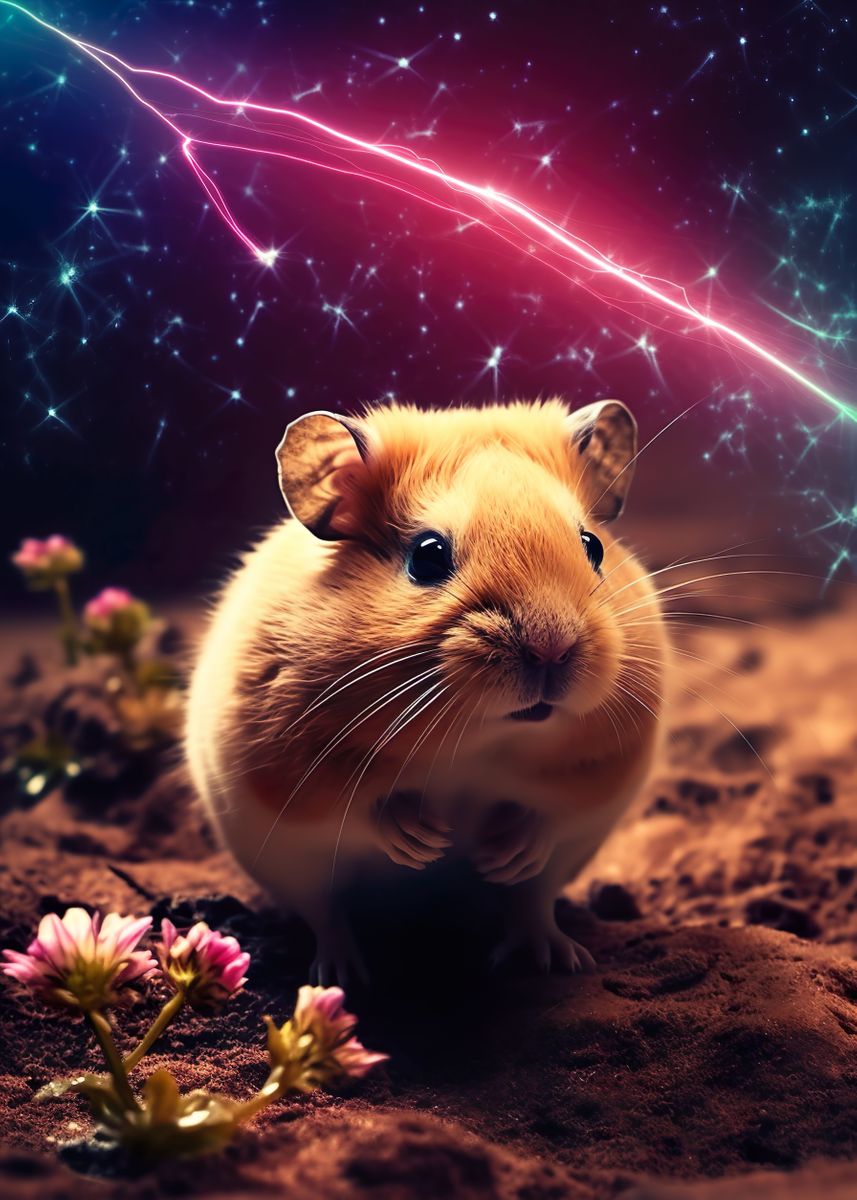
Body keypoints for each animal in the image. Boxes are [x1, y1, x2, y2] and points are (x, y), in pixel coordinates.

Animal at [185, 399, 666, 984]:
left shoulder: (597, 777)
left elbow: (549, 816)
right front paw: (429, 845)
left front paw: (498, 854)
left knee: (532, 904)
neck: (476, 741)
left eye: (592, 546)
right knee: (327, 916)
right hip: (294, 870)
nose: (552, 649)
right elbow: (364, 806)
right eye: (428, 556)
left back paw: (557, 958)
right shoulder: (298, 779)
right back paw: (342, 976)